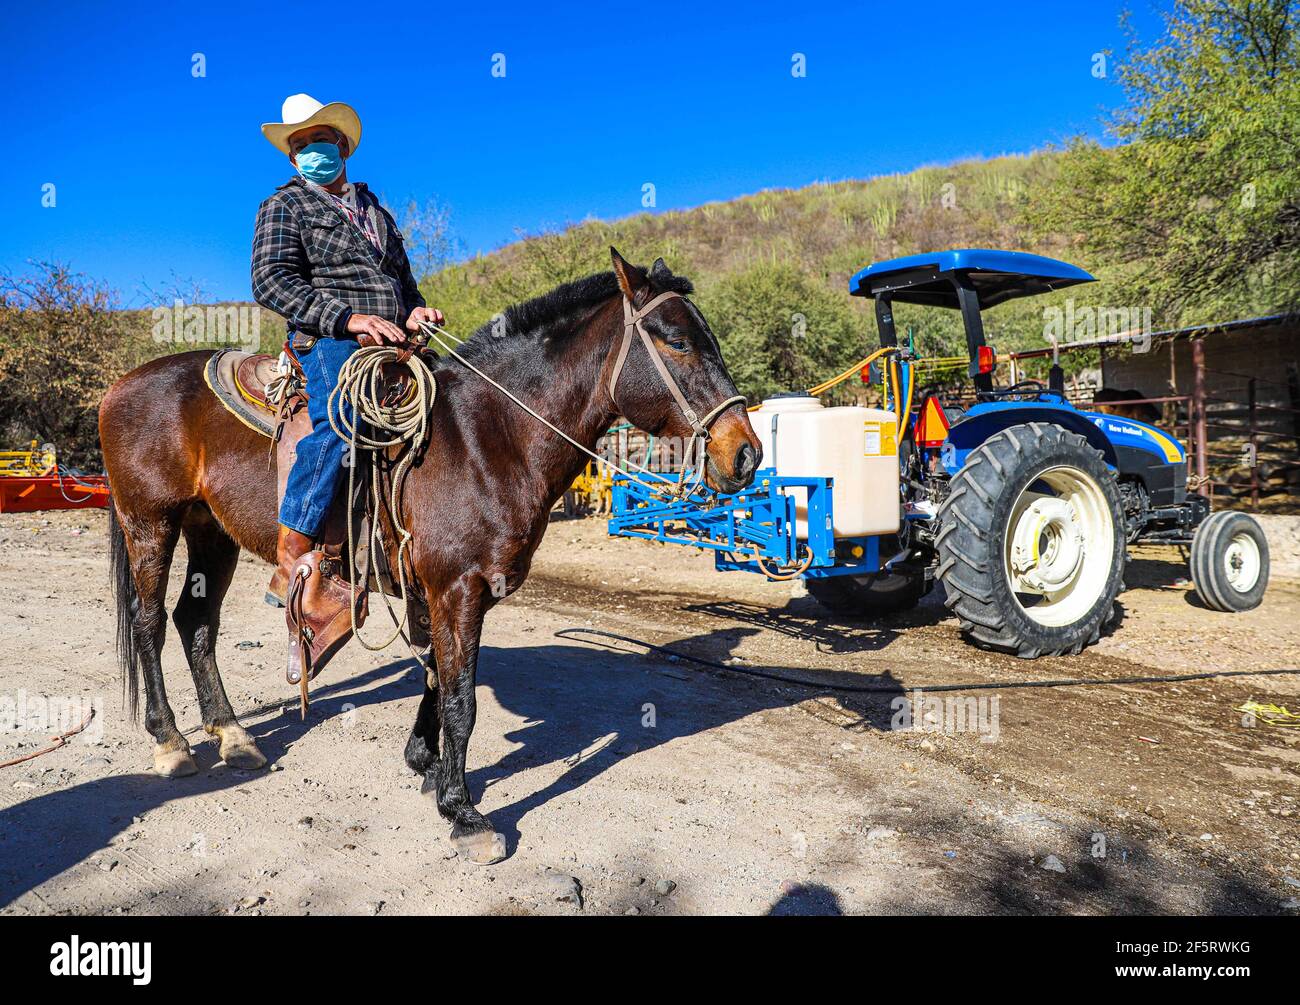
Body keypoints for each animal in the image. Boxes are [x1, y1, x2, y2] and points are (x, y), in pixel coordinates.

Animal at [99, 248, 761, 863]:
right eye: (677, 341)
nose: (746, 454)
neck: (488, 437)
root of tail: (119, 385)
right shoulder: (456, 588)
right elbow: (461, 699)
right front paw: (463, 811)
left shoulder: (454, 590)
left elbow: (440, 678)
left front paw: (425, 762)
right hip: (151, 523)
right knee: (149, 622)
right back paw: (171, 741)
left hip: (211, 532)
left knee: (196, 623)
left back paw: (232, 735)